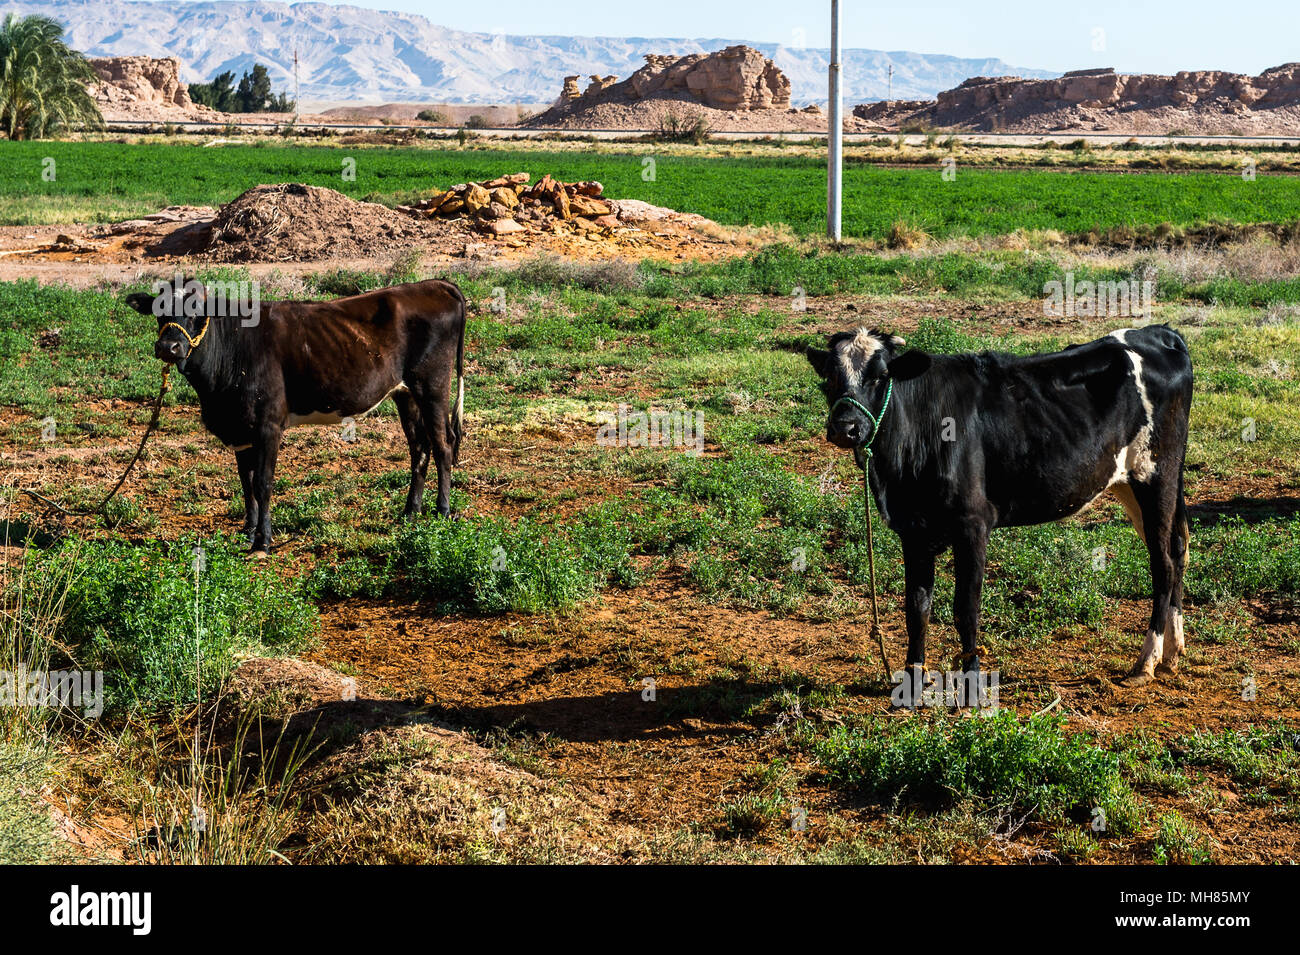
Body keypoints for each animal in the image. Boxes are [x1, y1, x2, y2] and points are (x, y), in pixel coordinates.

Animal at [124, 277, 466, 556]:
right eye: (159, 311)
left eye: (197, 310)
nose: (168, 347)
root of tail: (435, 284)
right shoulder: (241, 428)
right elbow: (245, 482)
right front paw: (248, 530)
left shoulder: (268, 425)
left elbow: (263, 482)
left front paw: (262, 541)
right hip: (405, 393)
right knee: (419, 448)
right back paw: (409, 513)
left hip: (433, 385)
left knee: (443, 444)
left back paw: (442, 510)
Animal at [807, 324, 1193, 688]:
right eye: (830, 376)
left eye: (880, 375)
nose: (846, 427)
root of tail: (1158, 333)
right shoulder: (913, 530)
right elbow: (916, 607)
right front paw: (914, 680)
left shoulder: (973, 524)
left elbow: (966, 609)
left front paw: (972, 681)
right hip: (1129, 481)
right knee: (1178, 549)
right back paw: (1172, 653)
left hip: (1156, 475)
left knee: (1163, 563)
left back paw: (1146, 661)